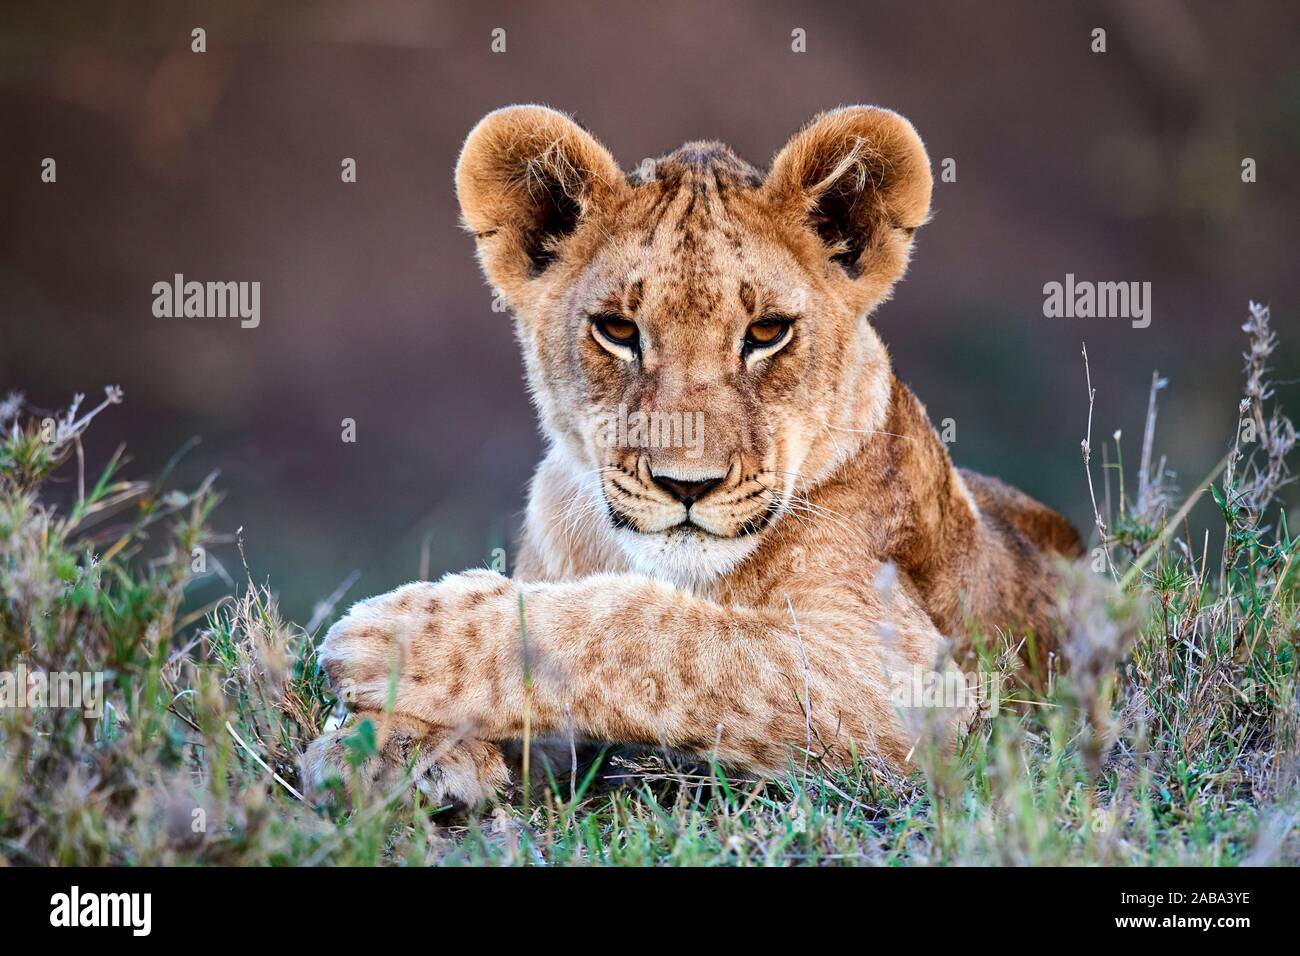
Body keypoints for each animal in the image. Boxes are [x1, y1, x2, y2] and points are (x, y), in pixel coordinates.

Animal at [303, 104, 1083, 807]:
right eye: (618, 330)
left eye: (766, 332)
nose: (687, 485)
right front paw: (380, 747)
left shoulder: (918, 678)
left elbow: (667, 636)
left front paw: (395, 643)